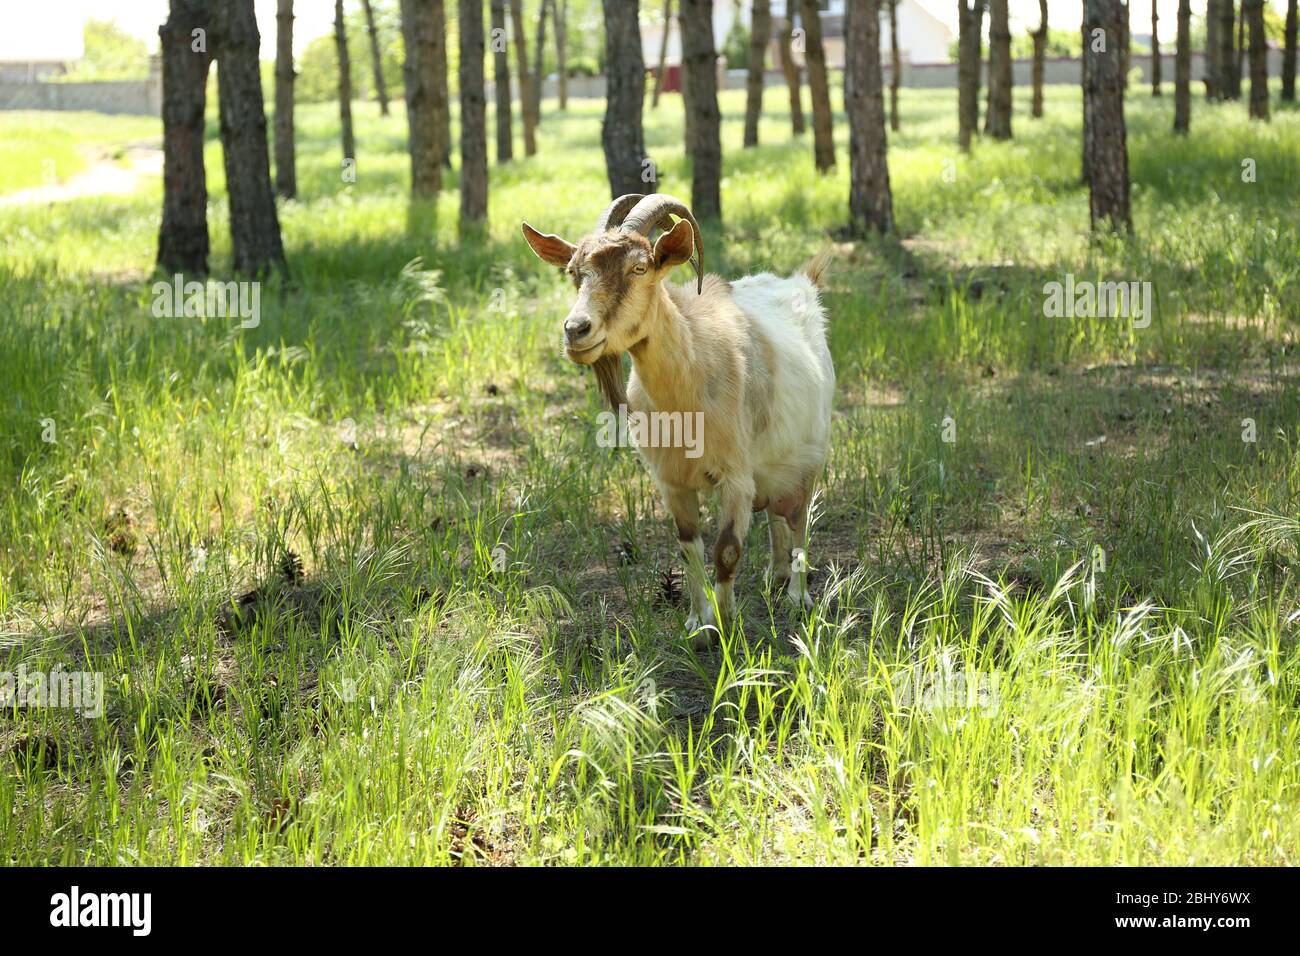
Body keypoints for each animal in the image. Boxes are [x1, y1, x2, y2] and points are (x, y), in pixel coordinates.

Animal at [522, 193, 835, 648]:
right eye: (573, 273)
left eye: (639, 268)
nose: (576, 330)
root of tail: (801, 283)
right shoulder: (671, 483)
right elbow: (689, 548)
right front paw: (696, 624)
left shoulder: (736, 478)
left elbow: (726, 550)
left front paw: (725, 624)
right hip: (776, 463)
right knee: (778, 513)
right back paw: (774, 577)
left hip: (812, 455)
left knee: (800, 521)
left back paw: (797, 595)